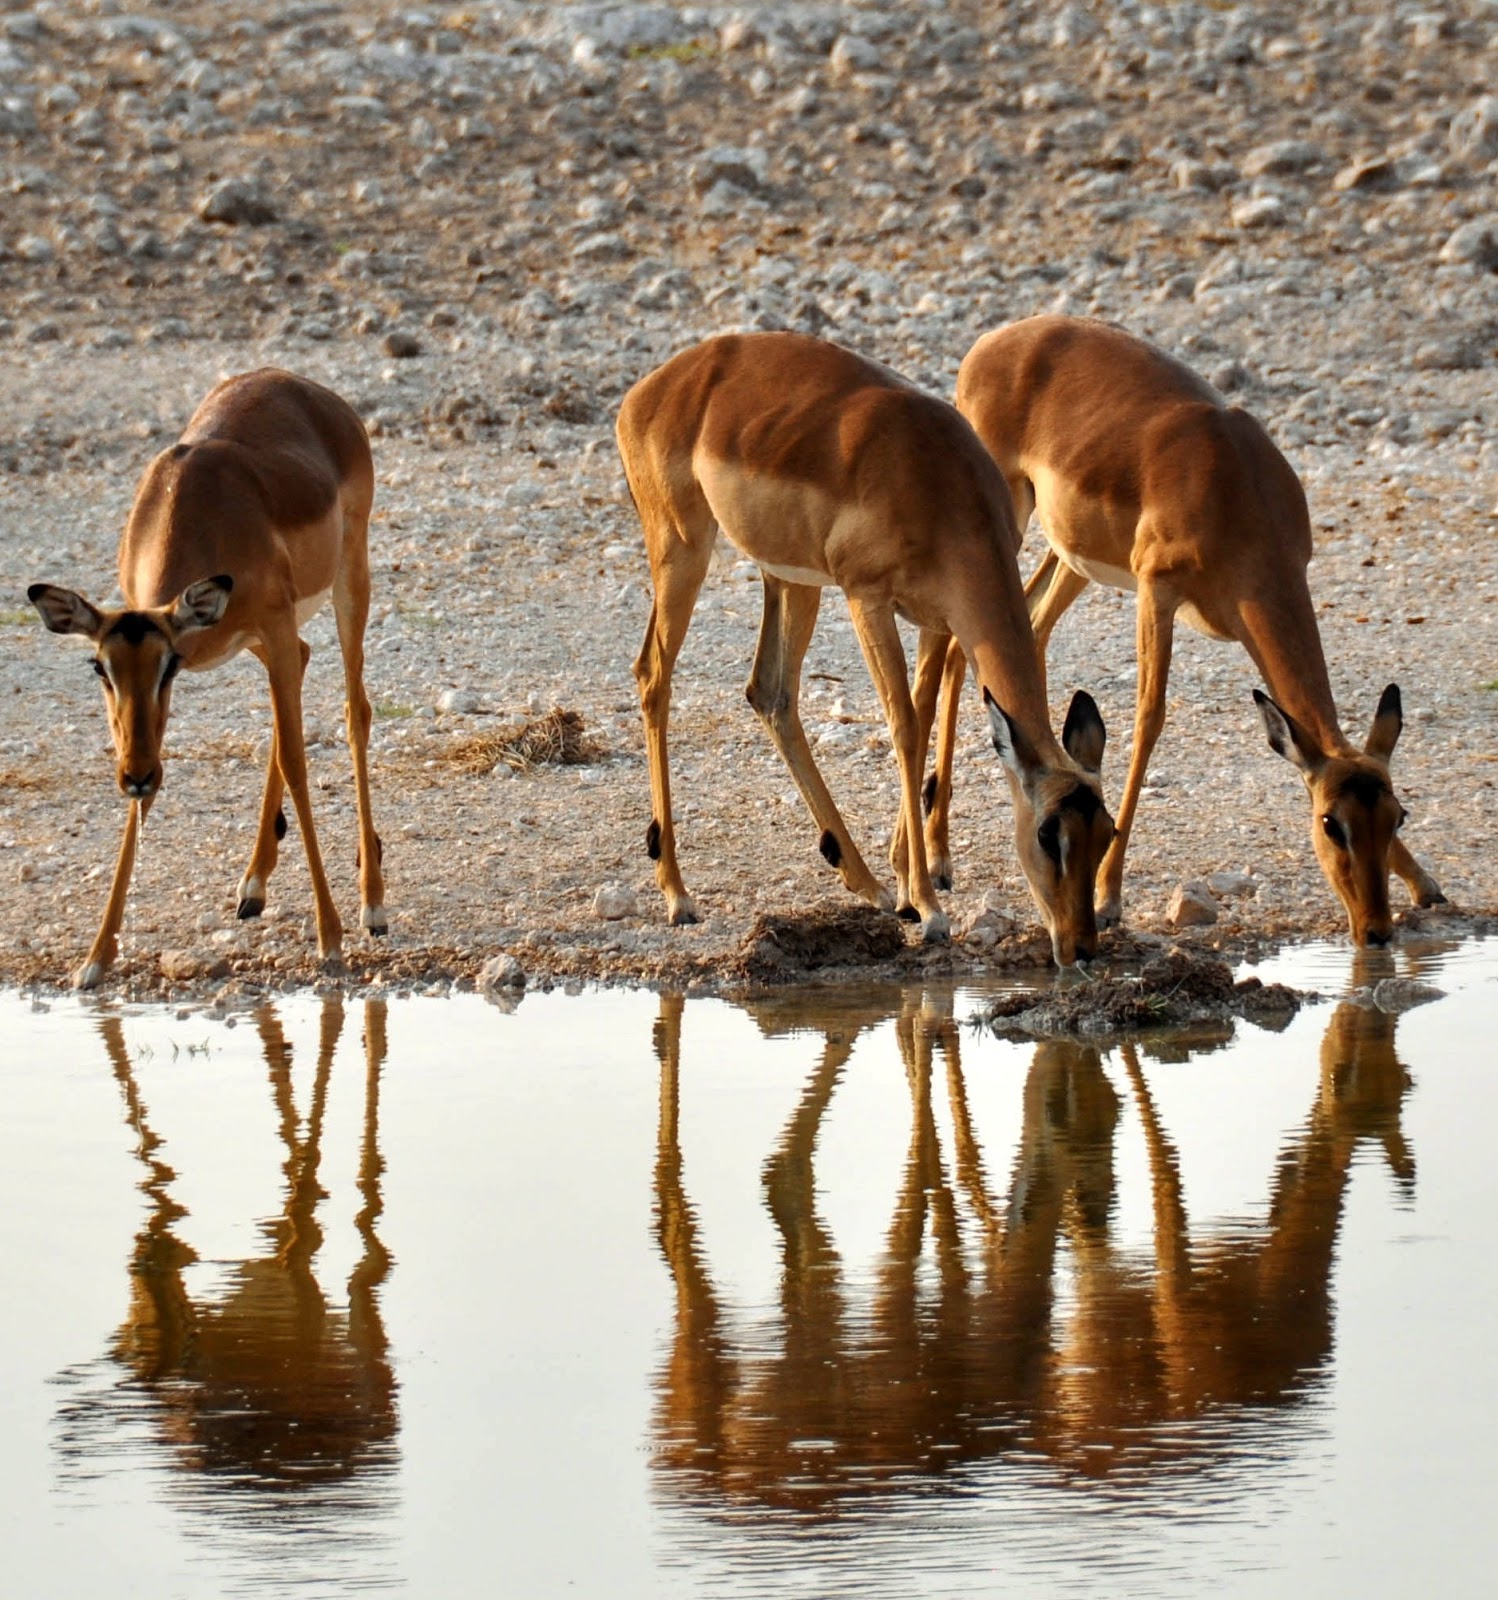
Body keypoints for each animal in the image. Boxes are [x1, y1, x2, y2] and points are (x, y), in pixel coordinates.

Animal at [28, 369, 387, 987]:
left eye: (168, 663)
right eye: (100, 667)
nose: (134, 776)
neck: (197, 506)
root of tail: (310, 389)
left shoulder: (267, 625)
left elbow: (298, 762)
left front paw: (331, 938)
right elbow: (152, 786)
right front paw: (95, 958)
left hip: (347, 582)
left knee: (353, 713)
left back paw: (372, 904)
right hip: (262, 642)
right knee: (301, 674)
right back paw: (253, 888)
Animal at [617, 331, 1116, 966]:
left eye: (1107, 832)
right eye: (1049, 834)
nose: (1081, 946)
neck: (938, 484)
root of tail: (655, 386)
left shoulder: (941, 619)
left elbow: (922, 715)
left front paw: (906, 887)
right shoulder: (867, 599)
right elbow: (903, 725)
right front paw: (928, 907)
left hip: (792, 579)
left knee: (770, 693)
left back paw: (866, 882)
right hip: (683, 549)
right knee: (653, 674)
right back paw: (678, 895)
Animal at [917, 314, 1444, 946]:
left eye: (1397, 815)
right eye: (1330, 823)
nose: (1376, 931)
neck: (1233, 487)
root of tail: (996, 340)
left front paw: (1426, 883)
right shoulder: (1156, 591)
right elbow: (1149, 718)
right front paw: (1108, 897)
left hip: (1072, 559)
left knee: (1026, 631)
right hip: (1011, 520)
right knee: (954, 648)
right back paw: (939, 859)